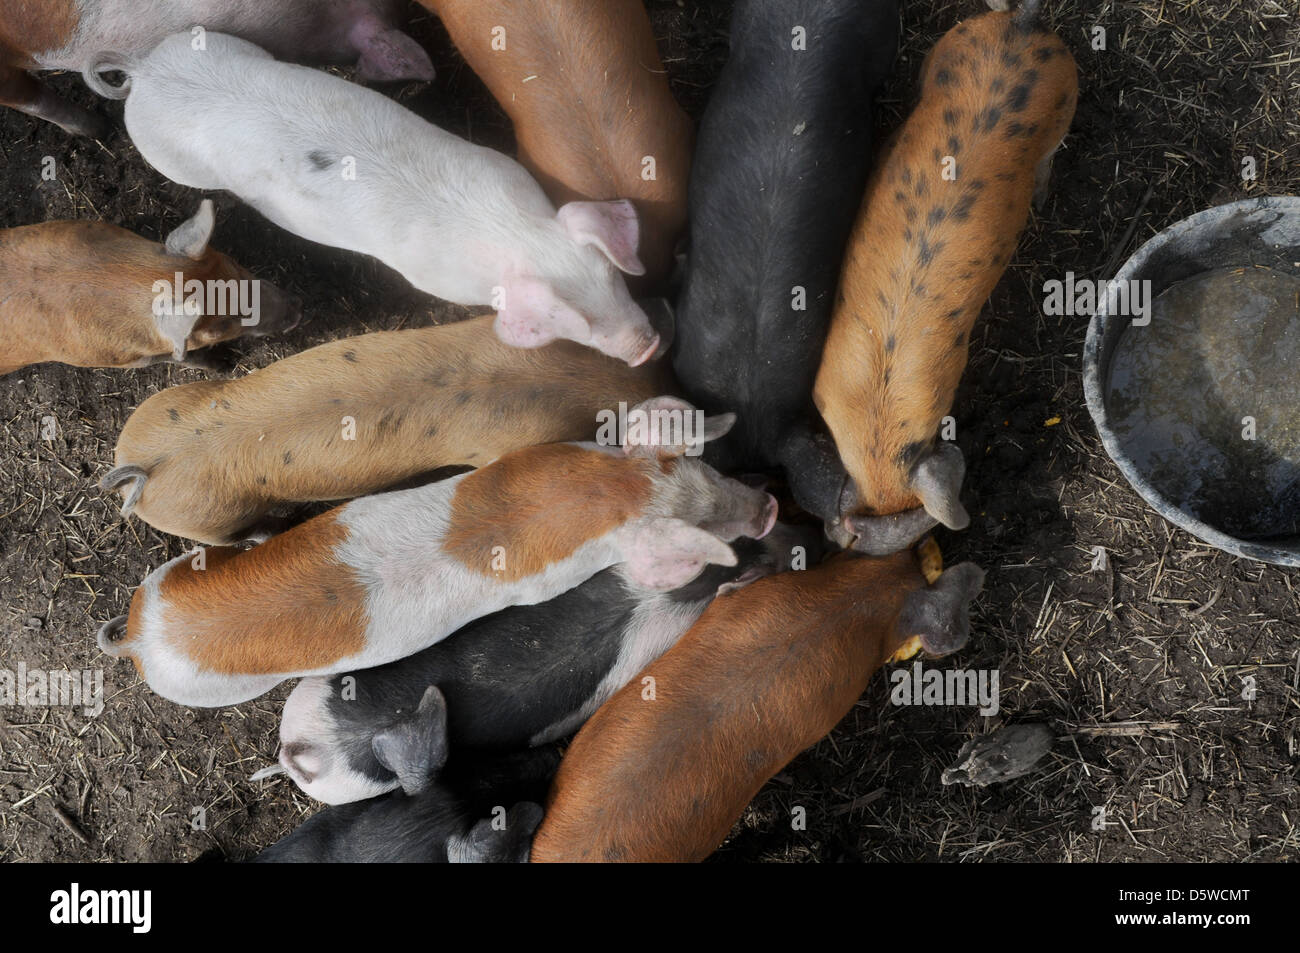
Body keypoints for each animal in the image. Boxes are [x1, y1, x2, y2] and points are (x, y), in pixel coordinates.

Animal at [0, 200, 300, 376]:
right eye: (223, 325)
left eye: (234, 264)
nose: (297, 310)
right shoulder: (112, 357)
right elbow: (177, 357)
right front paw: (224, 366)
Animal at [83, 32, 660, 365]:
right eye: (569, 325)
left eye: (613, 279)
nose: (650, 346)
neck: (507, 229)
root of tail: (145, 73)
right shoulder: (431, 277)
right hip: (166, 153)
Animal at [95, 397, 780, 709]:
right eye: (706, 530)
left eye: (704, 468)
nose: (771, 507)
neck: (601, 496)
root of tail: (138, 639)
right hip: (207, 689)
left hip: (169, 572)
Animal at [100, 312, 669, 545]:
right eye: (600, 423)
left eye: (591, 346)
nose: (652, 372)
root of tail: (144, 470)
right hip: (210, 518)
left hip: (163, 404)